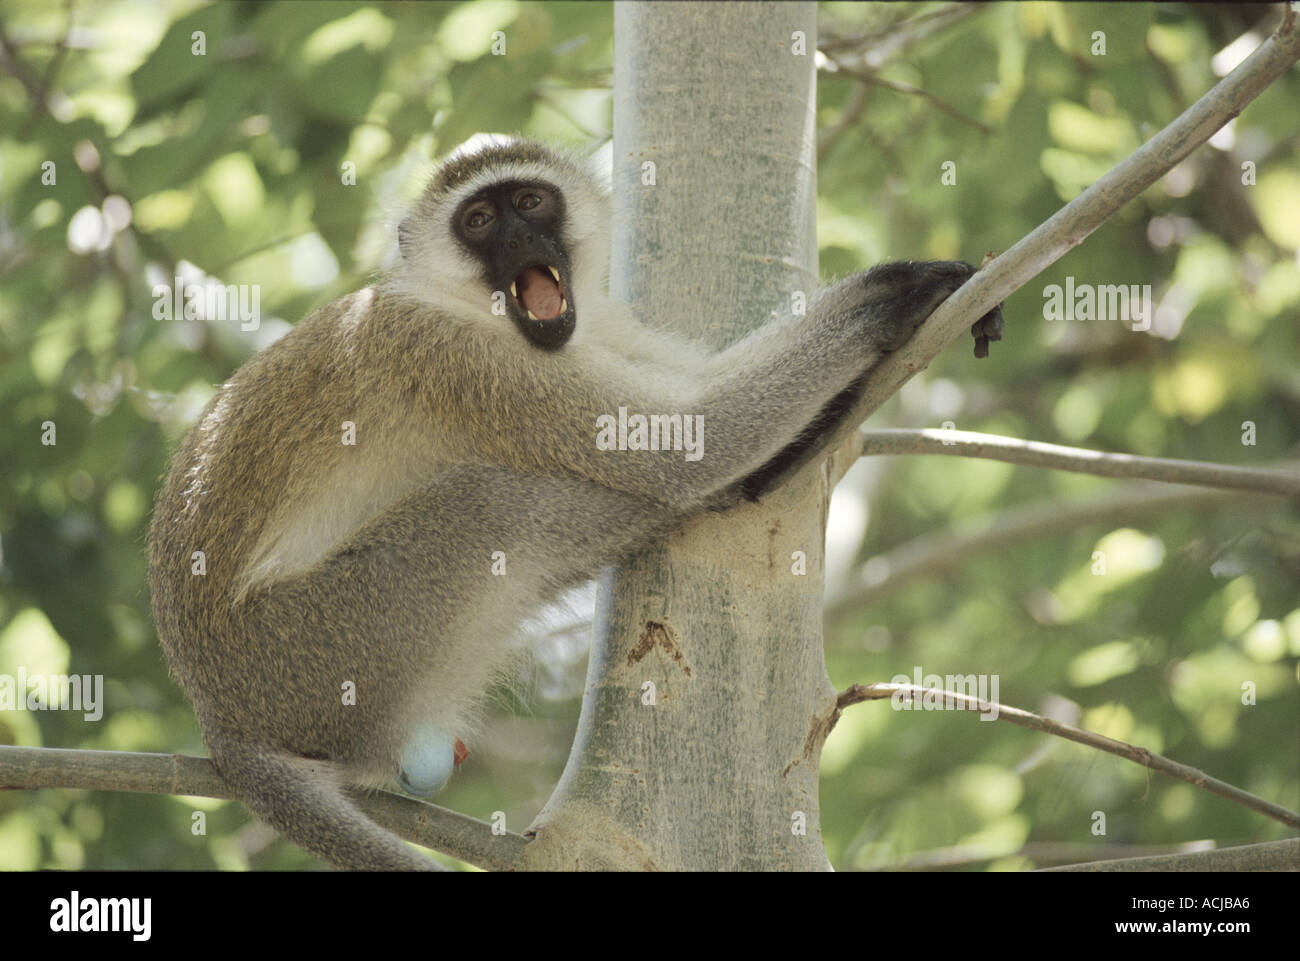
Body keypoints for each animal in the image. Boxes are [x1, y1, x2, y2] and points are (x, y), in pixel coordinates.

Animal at [147, 136, 1002, 871]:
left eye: (532, 200)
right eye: (480, 220)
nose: (520, 236)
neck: (466, 307)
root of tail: (222, 721)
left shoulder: (599, 328)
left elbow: (689, 394)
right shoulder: (451, 359)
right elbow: (685, 441)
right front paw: (894, 294)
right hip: (322, 645)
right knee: (500, 503)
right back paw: (750, 476)